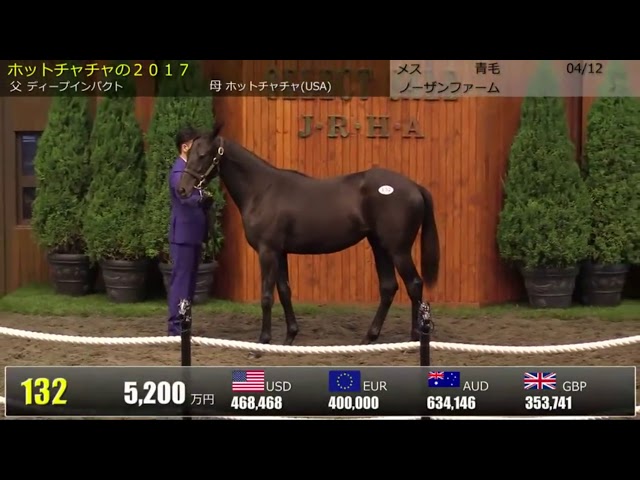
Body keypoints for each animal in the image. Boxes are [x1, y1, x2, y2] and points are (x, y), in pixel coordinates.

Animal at [178, 122, 440, 347]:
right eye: (189, 154)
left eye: (203, 155)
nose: (182, 189)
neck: (262, 190)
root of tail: (414, 186)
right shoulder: (280, 253)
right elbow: (284, 292)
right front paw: (289, 337)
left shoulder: (267, 252)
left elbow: (266, 295)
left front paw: (263, 340)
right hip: (379, 246)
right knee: (388, 287)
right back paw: (369, 337)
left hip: (398, 249)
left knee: (414, 284)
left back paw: (414, 338)